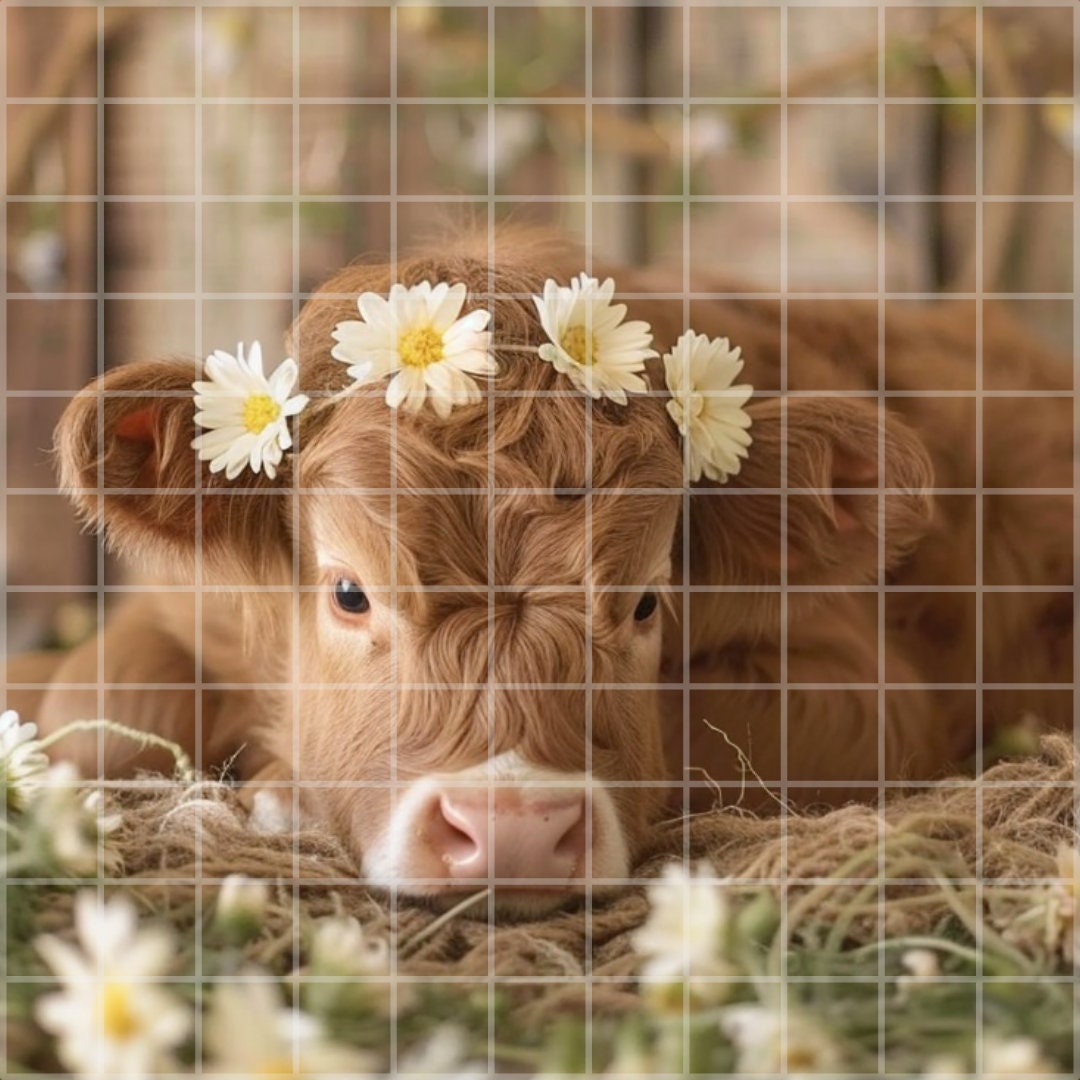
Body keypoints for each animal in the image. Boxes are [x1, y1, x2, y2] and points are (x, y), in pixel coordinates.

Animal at [5, 234, 1074, 913]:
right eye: (349, 591)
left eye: (645, 601)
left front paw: (281, 788)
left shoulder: (862, 689)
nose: (510, 830)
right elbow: (95, 706)